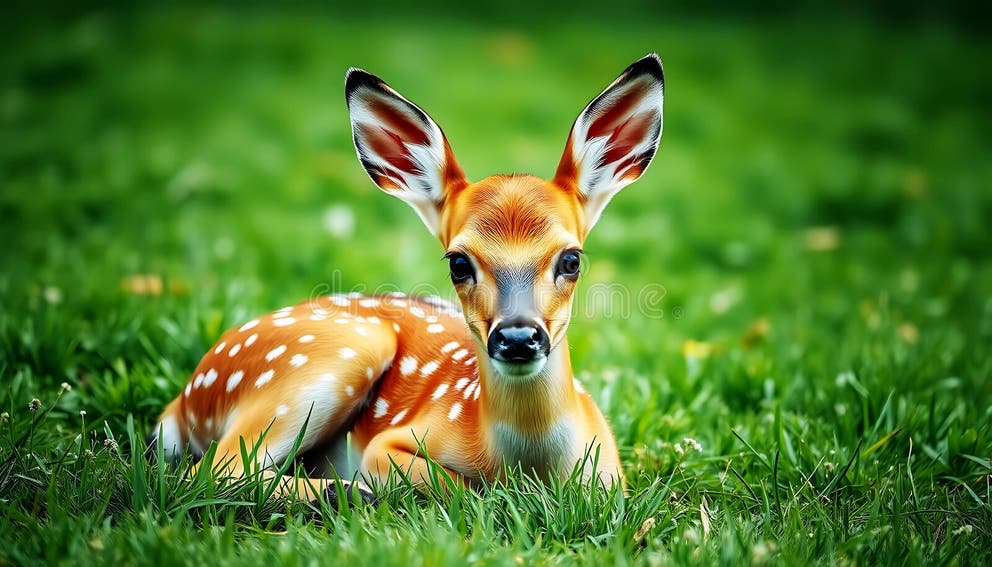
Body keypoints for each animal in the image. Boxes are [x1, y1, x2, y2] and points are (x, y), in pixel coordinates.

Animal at [153, 54, 664, 505]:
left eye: (571, 259)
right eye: (458, 262)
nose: (518, 337)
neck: (525, 461)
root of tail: (181, 403)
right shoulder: (385, 446)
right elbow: (459, 486)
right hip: (333, 355)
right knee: (215, 471)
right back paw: (346, 492)